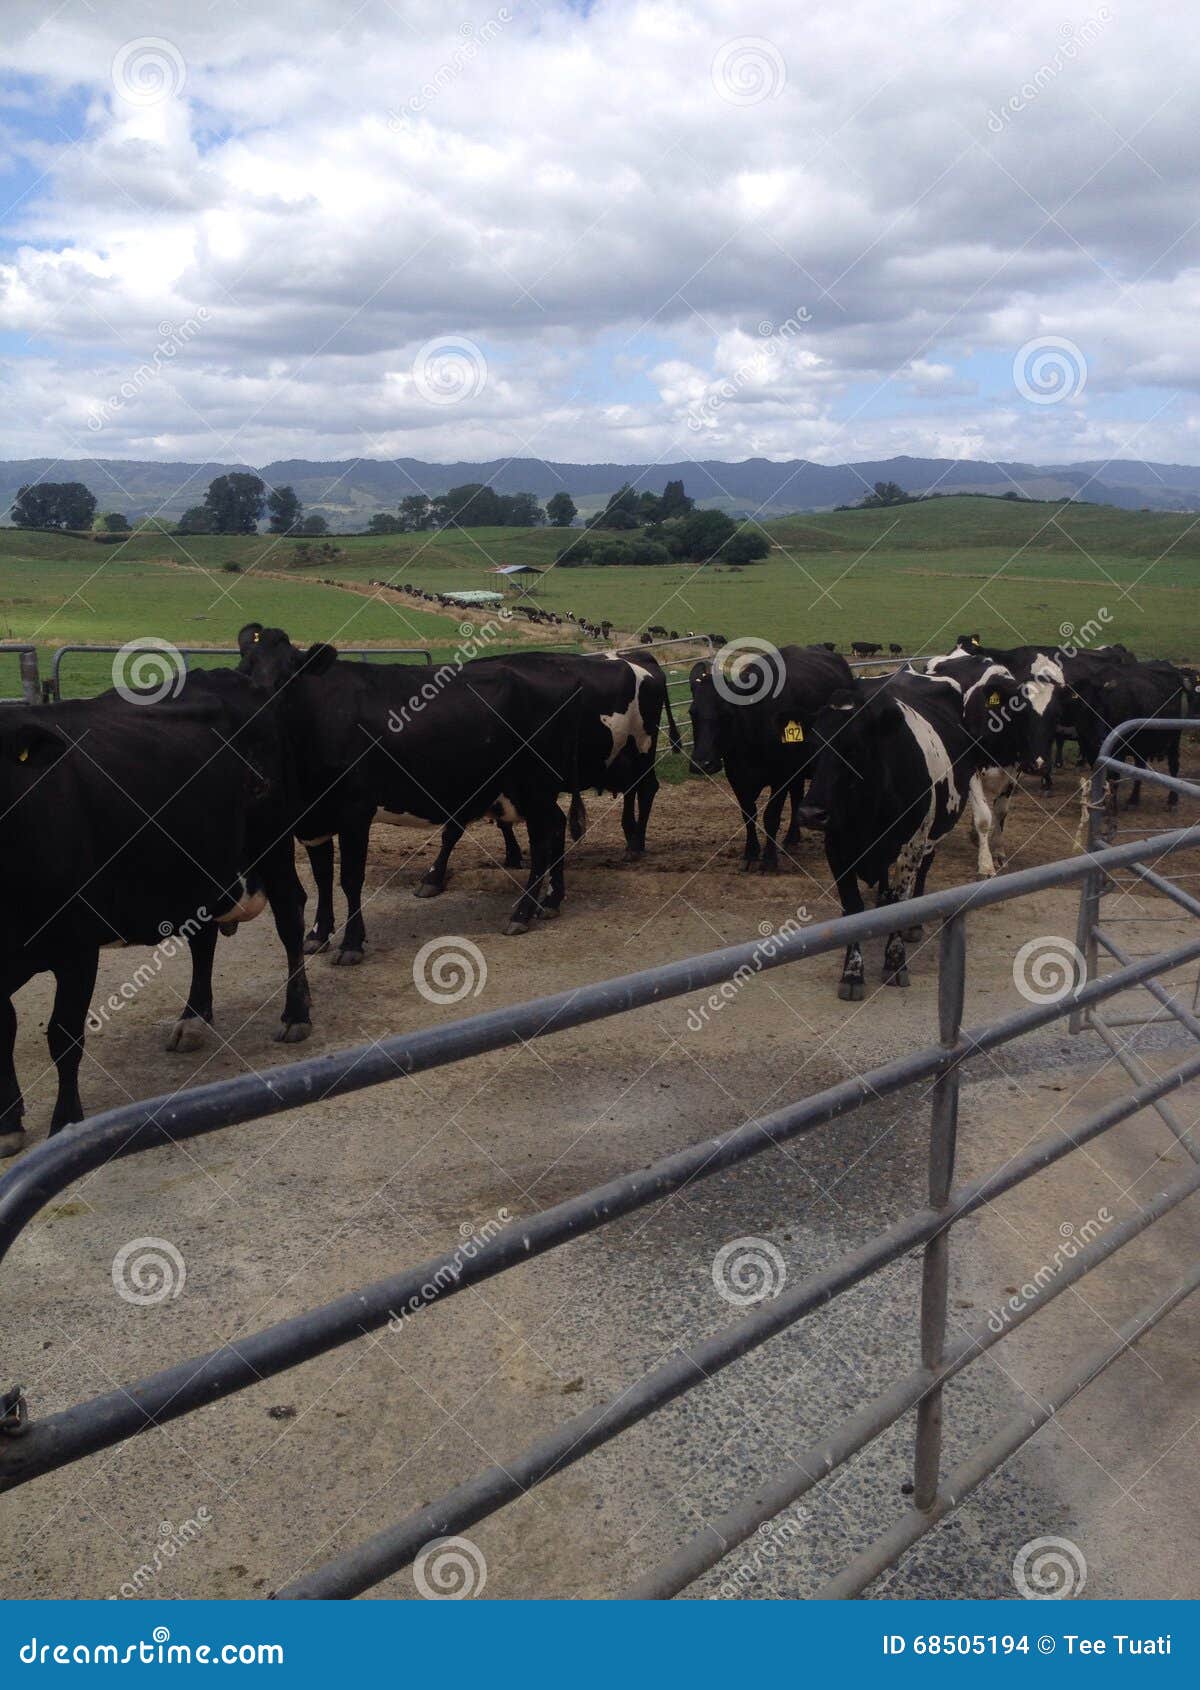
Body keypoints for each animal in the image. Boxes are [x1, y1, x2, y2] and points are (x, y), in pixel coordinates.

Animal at [0, 674, 311, 1158]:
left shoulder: (77, 948)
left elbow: (63, 1036)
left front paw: (66, 1124)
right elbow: (5, 1033)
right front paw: (9, 1122)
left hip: (274, 842)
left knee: (290, 919)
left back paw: (296, 1014)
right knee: (204, 939)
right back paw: (193, 1019)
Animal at [688, 644, 853, 872]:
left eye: (726, 714)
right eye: (692, 712)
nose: (702, 763)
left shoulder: (781, 777)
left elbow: (771, 816)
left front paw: (769, 859)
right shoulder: (737, 777)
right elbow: (748, 814)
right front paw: (750, 853)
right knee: (797, 796)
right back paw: (792, 838)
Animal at [794, 667, 1028, 997]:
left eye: (854, 748)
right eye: (813, 746)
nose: (811, 813)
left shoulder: (912, 845)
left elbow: (899, 903)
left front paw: (895, 963)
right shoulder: (837, 847)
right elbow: (853, 909)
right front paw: (852, 973)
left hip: (932, 833)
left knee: (923, 871)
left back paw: (913, 926)